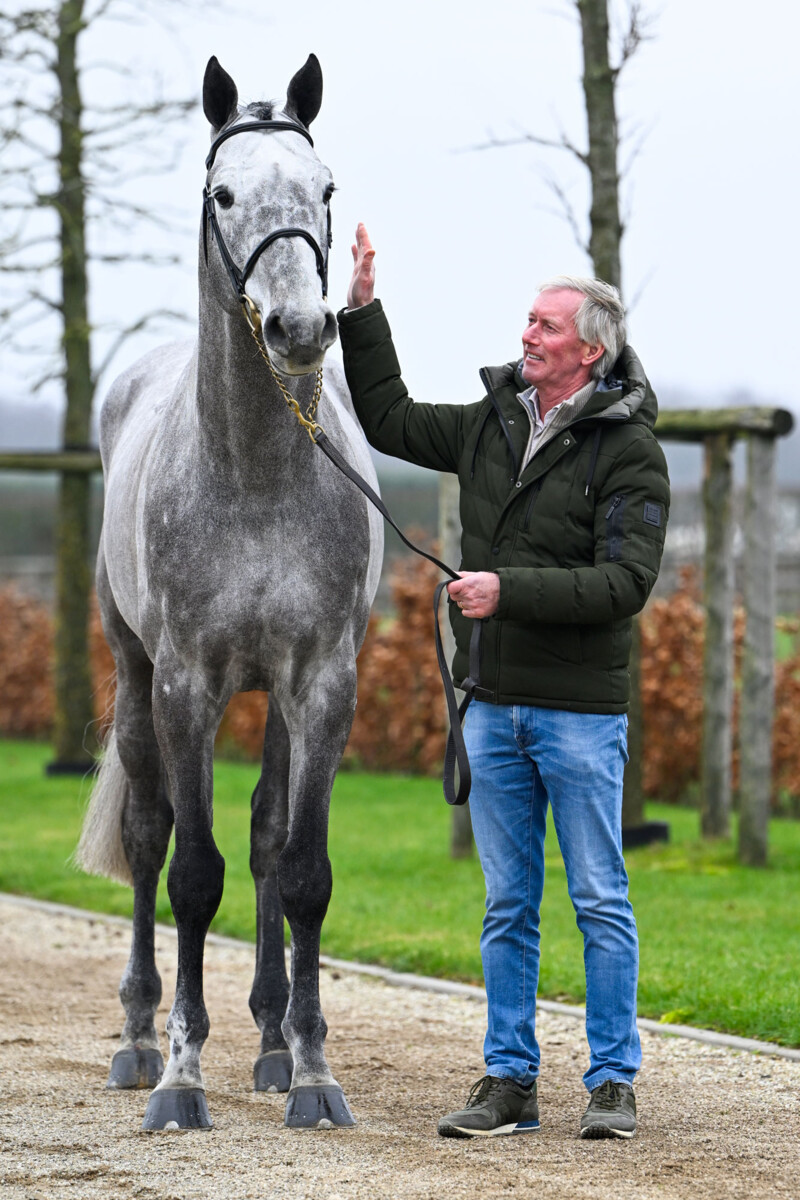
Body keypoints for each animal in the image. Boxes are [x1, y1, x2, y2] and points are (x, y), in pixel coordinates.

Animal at [75, 54, 383, 1131]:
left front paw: (315, 1071)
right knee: (150, 834)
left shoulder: (321, 685)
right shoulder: (186, 686)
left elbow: (302, 872)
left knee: (262, 838)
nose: (300, 327)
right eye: (224, 196)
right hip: (133, 679)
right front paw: (180, 1077)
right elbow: (190, 875)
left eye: (324, 190)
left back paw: (270, 1043)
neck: (251, 472)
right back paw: (135, 1036)